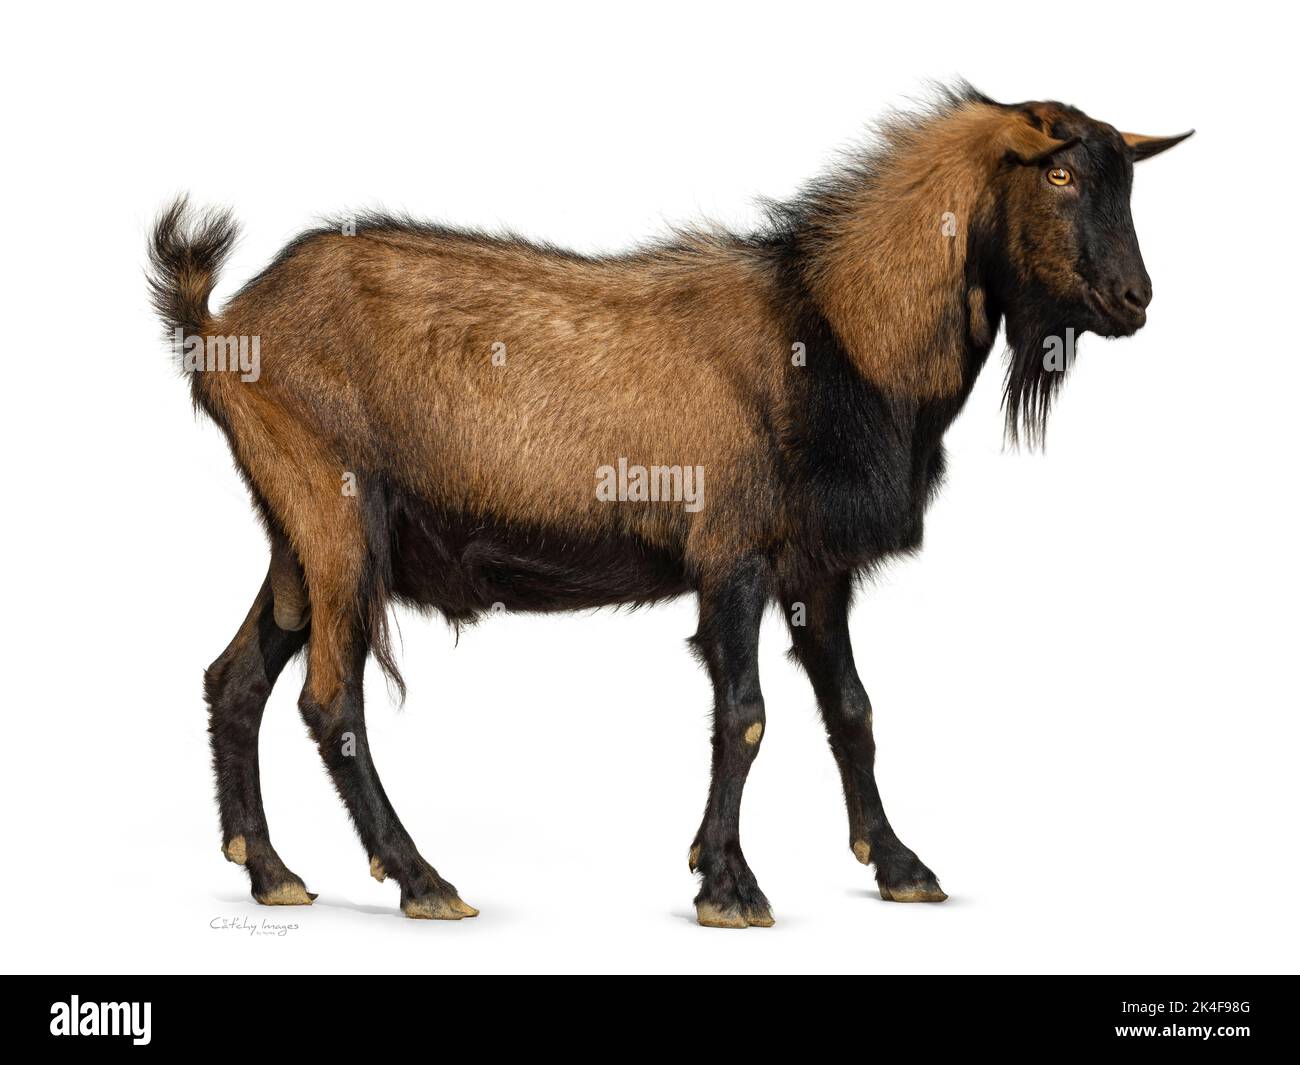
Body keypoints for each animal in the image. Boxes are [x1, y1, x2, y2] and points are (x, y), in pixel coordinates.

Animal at [149, 85, 1191, 927]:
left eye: (1126, 184)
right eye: (1059, 172)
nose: (1134, 298)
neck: (830, 330)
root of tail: (223, 326)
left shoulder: (816, 567)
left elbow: (852, 708)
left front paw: (901, 867)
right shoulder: (732, 551)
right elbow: (746, 714)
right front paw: (728, 884)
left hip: (298, 535)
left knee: (235, 677)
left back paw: (272, 871)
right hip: (335, 512)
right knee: (330, 699)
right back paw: (421, 879)